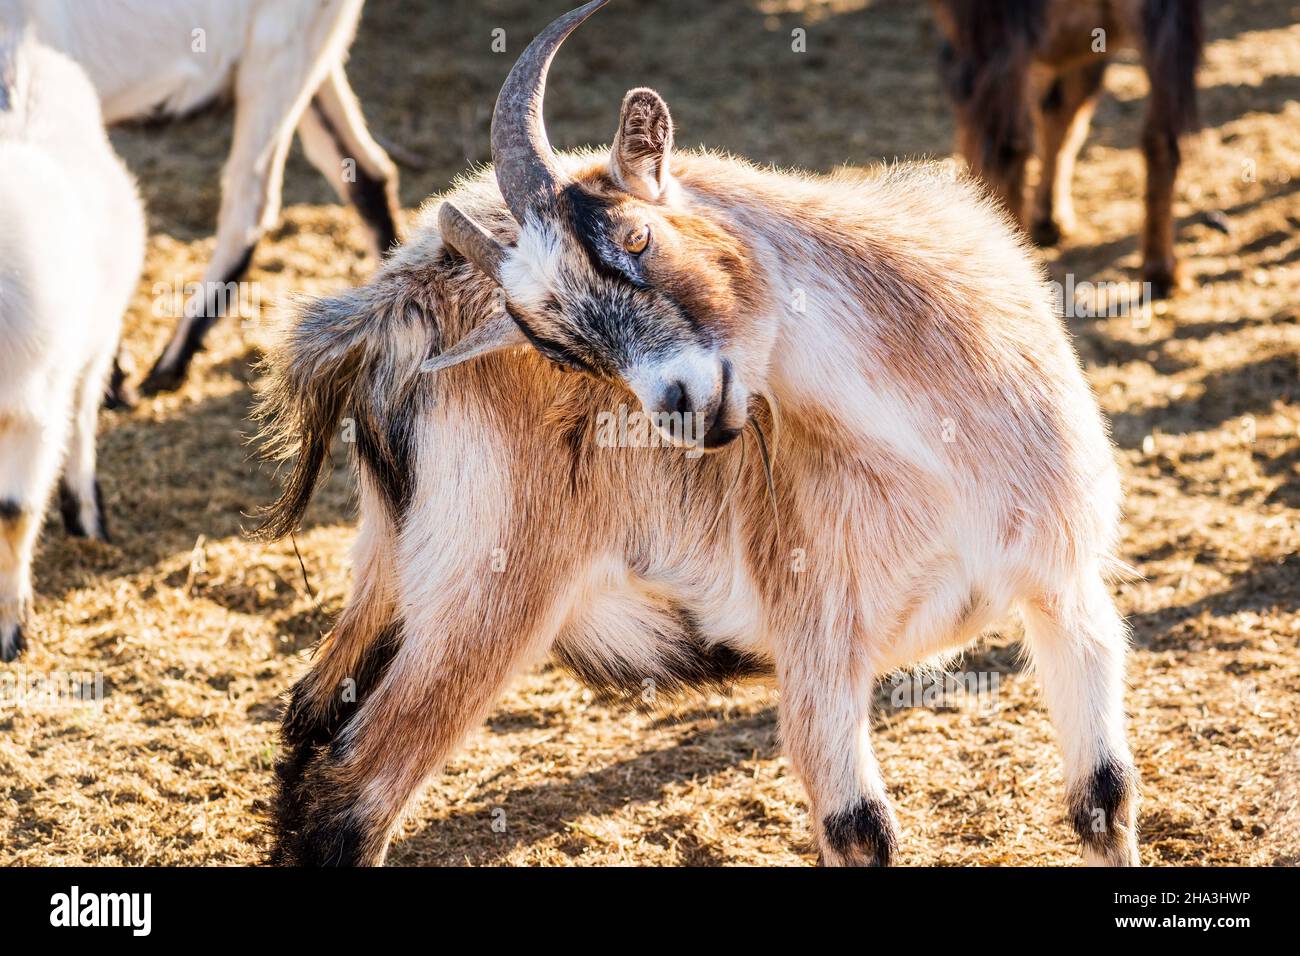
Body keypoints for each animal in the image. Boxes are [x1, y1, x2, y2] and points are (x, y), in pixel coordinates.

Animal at [12, 0, 402, 398]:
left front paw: (112, 377)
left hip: (276, 56)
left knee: (249, 203)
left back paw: (169, 364)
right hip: (314, 54)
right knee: (365, 171)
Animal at [257, 0, 1138, 867]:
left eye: (636, 237)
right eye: (559, 347)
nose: (679, 404)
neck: (936, 460)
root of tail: (393, 310)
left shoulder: (1066, 590)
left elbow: (1103, 799)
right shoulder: (818, 643)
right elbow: (859, 830)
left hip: (394, 573)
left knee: (309, 729)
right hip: (488, 588)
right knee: (354, 793)